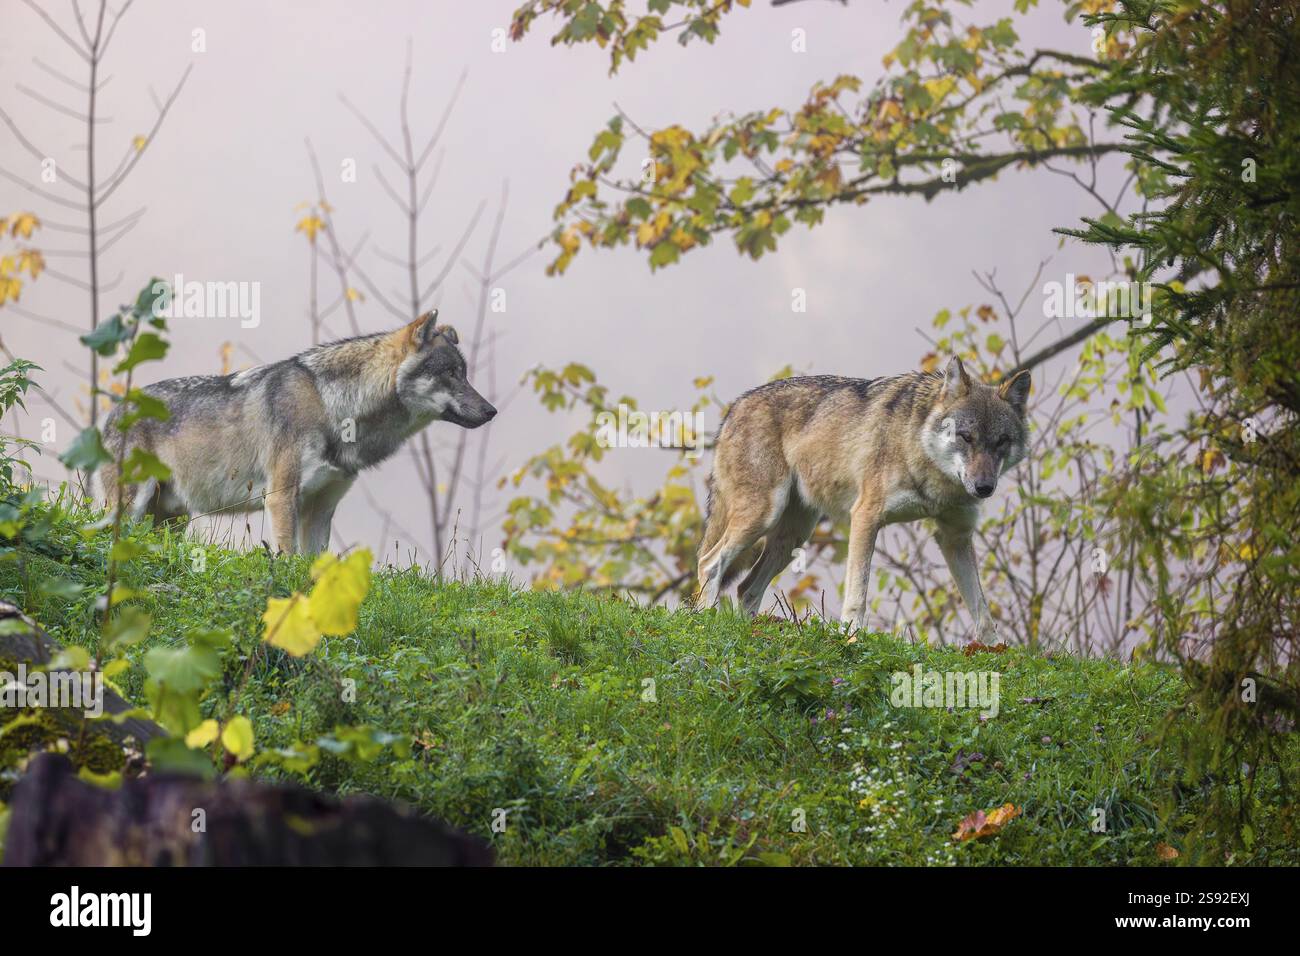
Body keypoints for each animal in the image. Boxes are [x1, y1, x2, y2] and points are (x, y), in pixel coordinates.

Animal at [99, 310, 496, 554]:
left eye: (465, 374)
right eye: (451, 374)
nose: (491, 411)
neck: (333, 407)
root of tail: (113, 411)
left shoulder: (321, 508)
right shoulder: (281, 497)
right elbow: (287, 556)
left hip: (172, 520)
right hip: (131, 508)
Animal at [697, 357, 1031, 635]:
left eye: (1001, 441)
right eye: (966, 437)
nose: (984, 487)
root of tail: (735, 406)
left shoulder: (955, 537)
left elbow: (982, 612)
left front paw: (993, 652)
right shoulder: (865, 517)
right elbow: (858, 592)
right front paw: (852, 637)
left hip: (792, 537)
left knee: (745, 588)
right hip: (764, 516)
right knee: (708, 563)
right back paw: (706, 619)